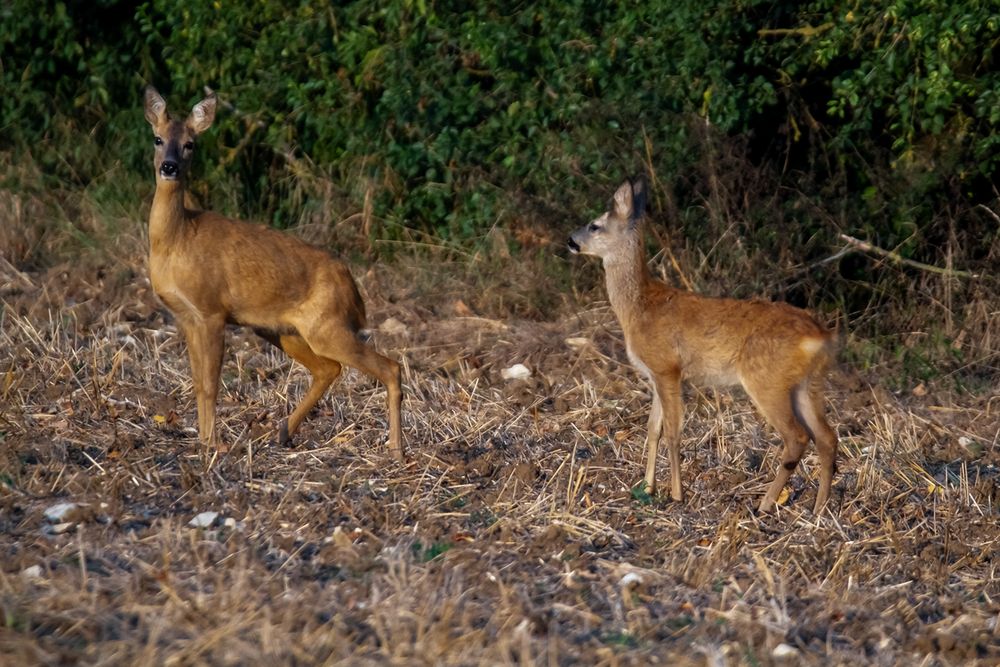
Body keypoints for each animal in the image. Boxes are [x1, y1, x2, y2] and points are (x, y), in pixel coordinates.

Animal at [142, 85, 406, 460]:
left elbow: (210, 383)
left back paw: (396, 450)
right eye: (158, 138)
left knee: (389, 367)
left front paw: (216, 444)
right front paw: (205, 441)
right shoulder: (186, 317)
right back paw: (281, 433)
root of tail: (353, 289)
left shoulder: (212, 311)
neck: (178, 238)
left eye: (190, 144)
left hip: (327, 326)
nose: (169, 166)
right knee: (329, 368)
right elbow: (198, 383)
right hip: (282, 330)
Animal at [572, 176, 836, 512]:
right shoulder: (655, 374)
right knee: (826, 437)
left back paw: (764, 505)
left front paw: (676, 494)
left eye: (594, 225)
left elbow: (672, 432)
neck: (639, 307)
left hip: (767, 380)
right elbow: (653, 429)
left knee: (797, 438)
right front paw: (648, 487)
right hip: (806, 384)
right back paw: (819, 508)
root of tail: (821, 338)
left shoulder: (667, 367)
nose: (570, 240)